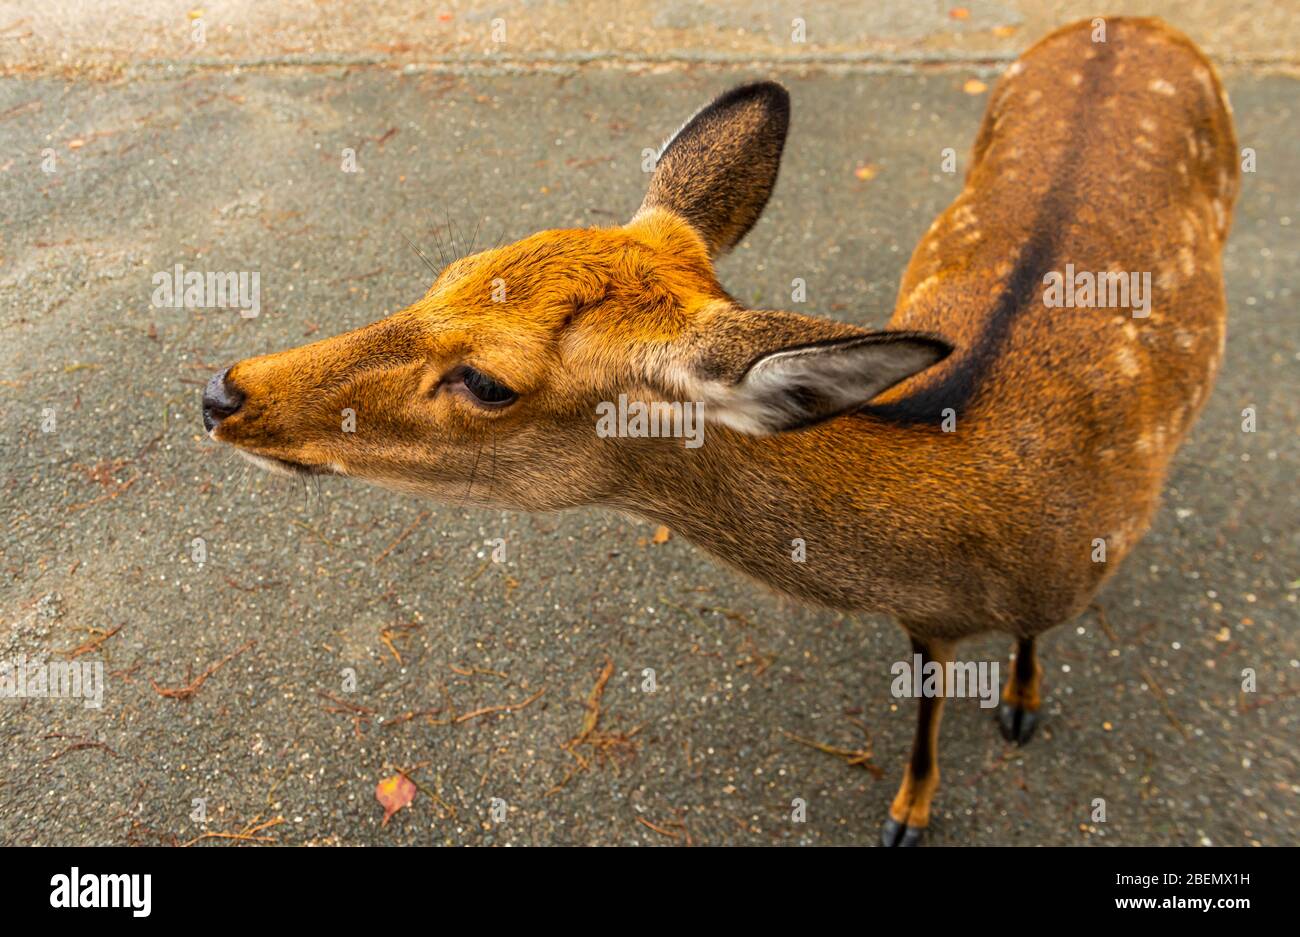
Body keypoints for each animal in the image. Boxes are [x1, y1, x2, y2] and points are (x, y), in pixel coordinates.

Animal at [202, 16, 1238, 845]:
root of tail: (1133, 19)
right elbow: (928, 692)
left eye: (489, 381)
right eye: (451, 270)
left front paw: (1012, 715)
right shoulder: (927, 622)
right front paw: (911, 807)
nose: (223, 391)